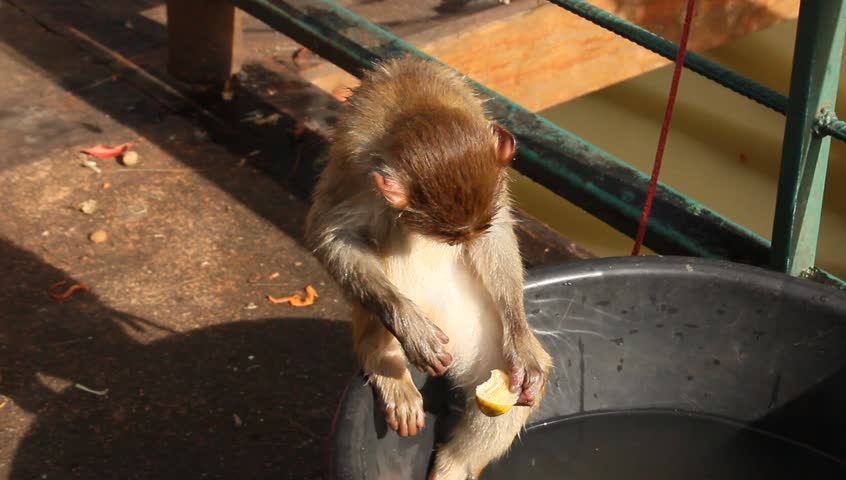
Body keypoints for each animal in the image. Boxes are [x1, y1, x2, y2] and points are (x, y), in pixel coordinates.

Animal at [305, 57, 552, 480]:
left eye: (463, 237)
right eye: (448, 237)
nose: (458, 242)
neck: (417, 107)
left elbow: (498, 231)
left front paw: (520, 342)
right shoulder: (357, 171)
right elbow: (332, 235)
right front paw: (408, 326)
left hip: (477, 329)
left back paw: (455, 465)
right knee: (385, 241)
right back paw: (384, 358)